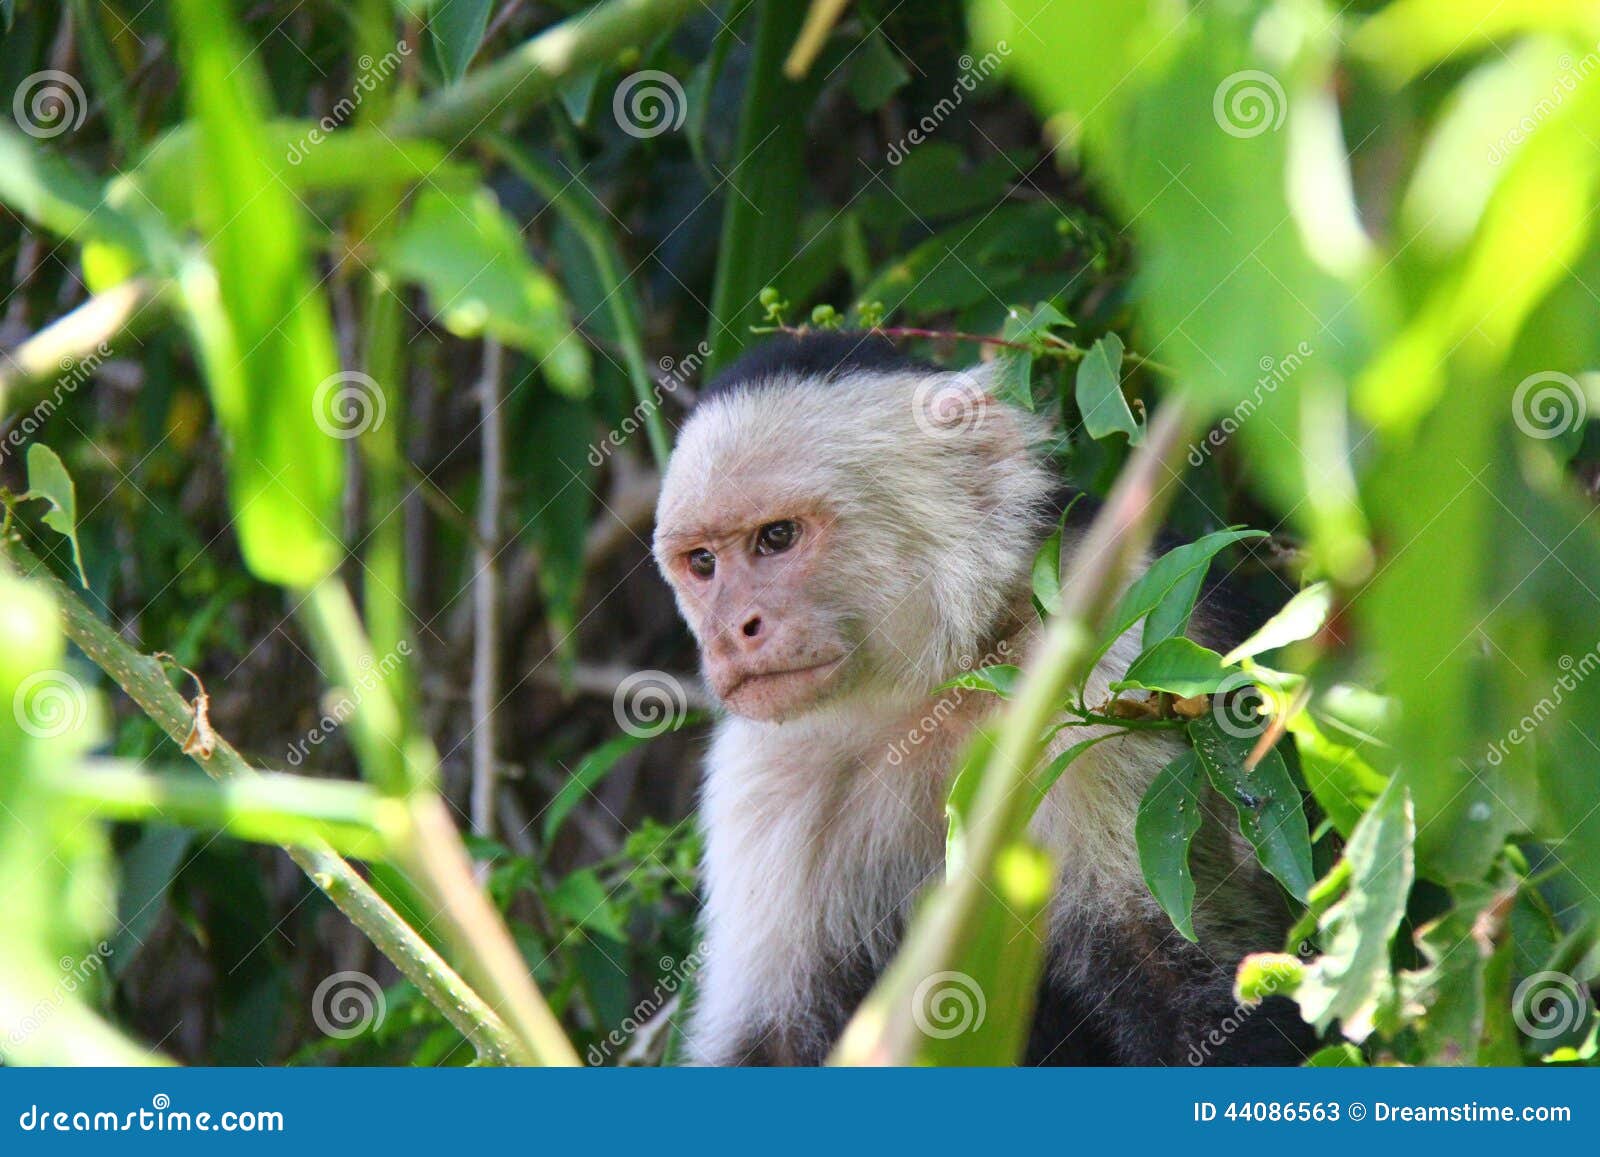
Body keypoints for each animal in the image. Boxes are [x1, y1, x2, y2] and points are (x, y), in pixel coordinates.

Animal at [651, 331, 1314, 1066]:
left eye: (777, 537)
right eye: (702, 563)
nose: (730, 632)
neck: (938, 684)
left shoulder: (1111, 651)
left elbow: (1197, 987)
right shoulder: (760, 769)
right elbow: (767, 1041)